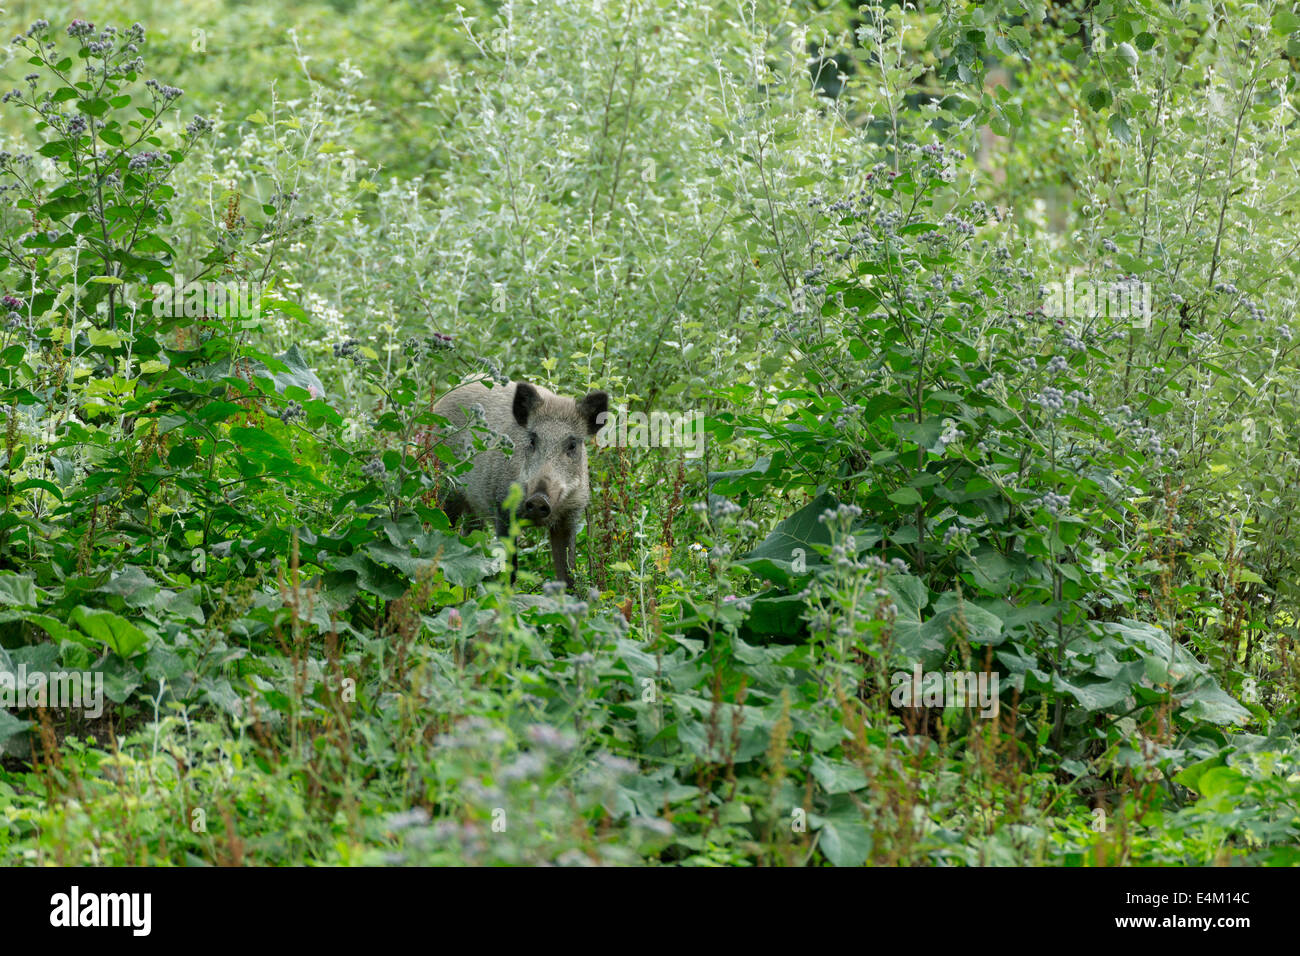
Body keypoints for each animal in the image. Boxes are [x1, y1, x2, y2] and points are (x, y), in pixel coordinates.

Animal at [432, 378, 608, 588]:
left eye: (572, 445)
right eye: (532, 440)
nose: (539, 499)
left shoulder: (570, 516)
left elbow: (568, 573)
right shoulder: (503, 508)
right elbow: (509, 569)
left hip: (474, 506)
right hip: (445, 487)